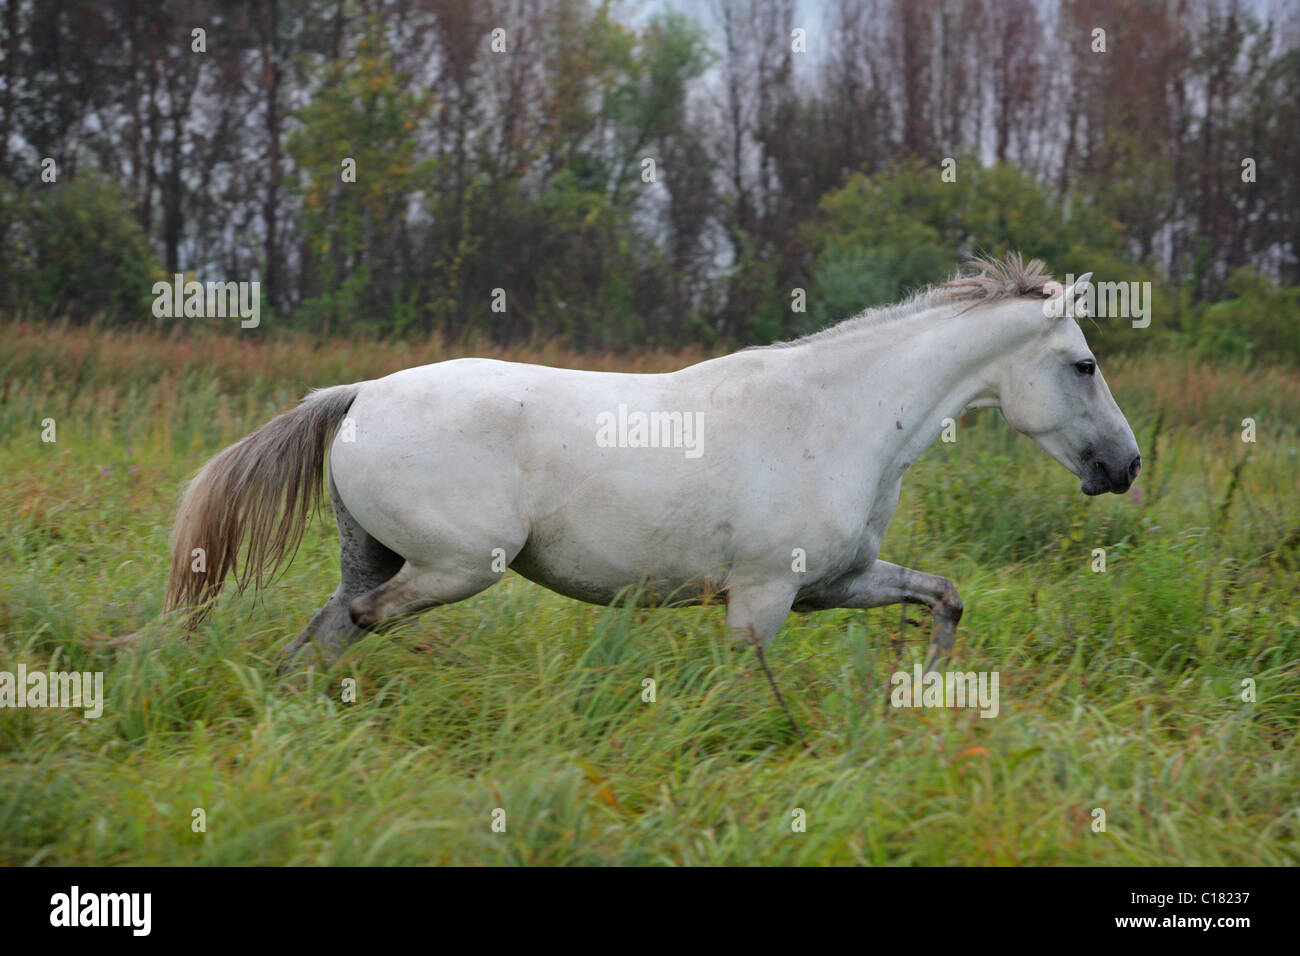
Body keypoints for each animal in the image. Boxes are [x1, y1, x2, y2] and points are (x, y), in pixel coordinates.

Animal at [165, 252, 1140, 682]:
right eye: (1084, 365)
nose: (1125, 466)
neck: (840, 415)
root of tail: (362, 393)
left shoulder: (833, 582)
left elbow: (943, 596)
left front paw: (929, 686)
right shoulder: (763, 597)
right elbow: (751, 683)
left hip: (373, 553)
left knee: (326, 631)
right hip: (456, 566)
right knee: (360, 621)